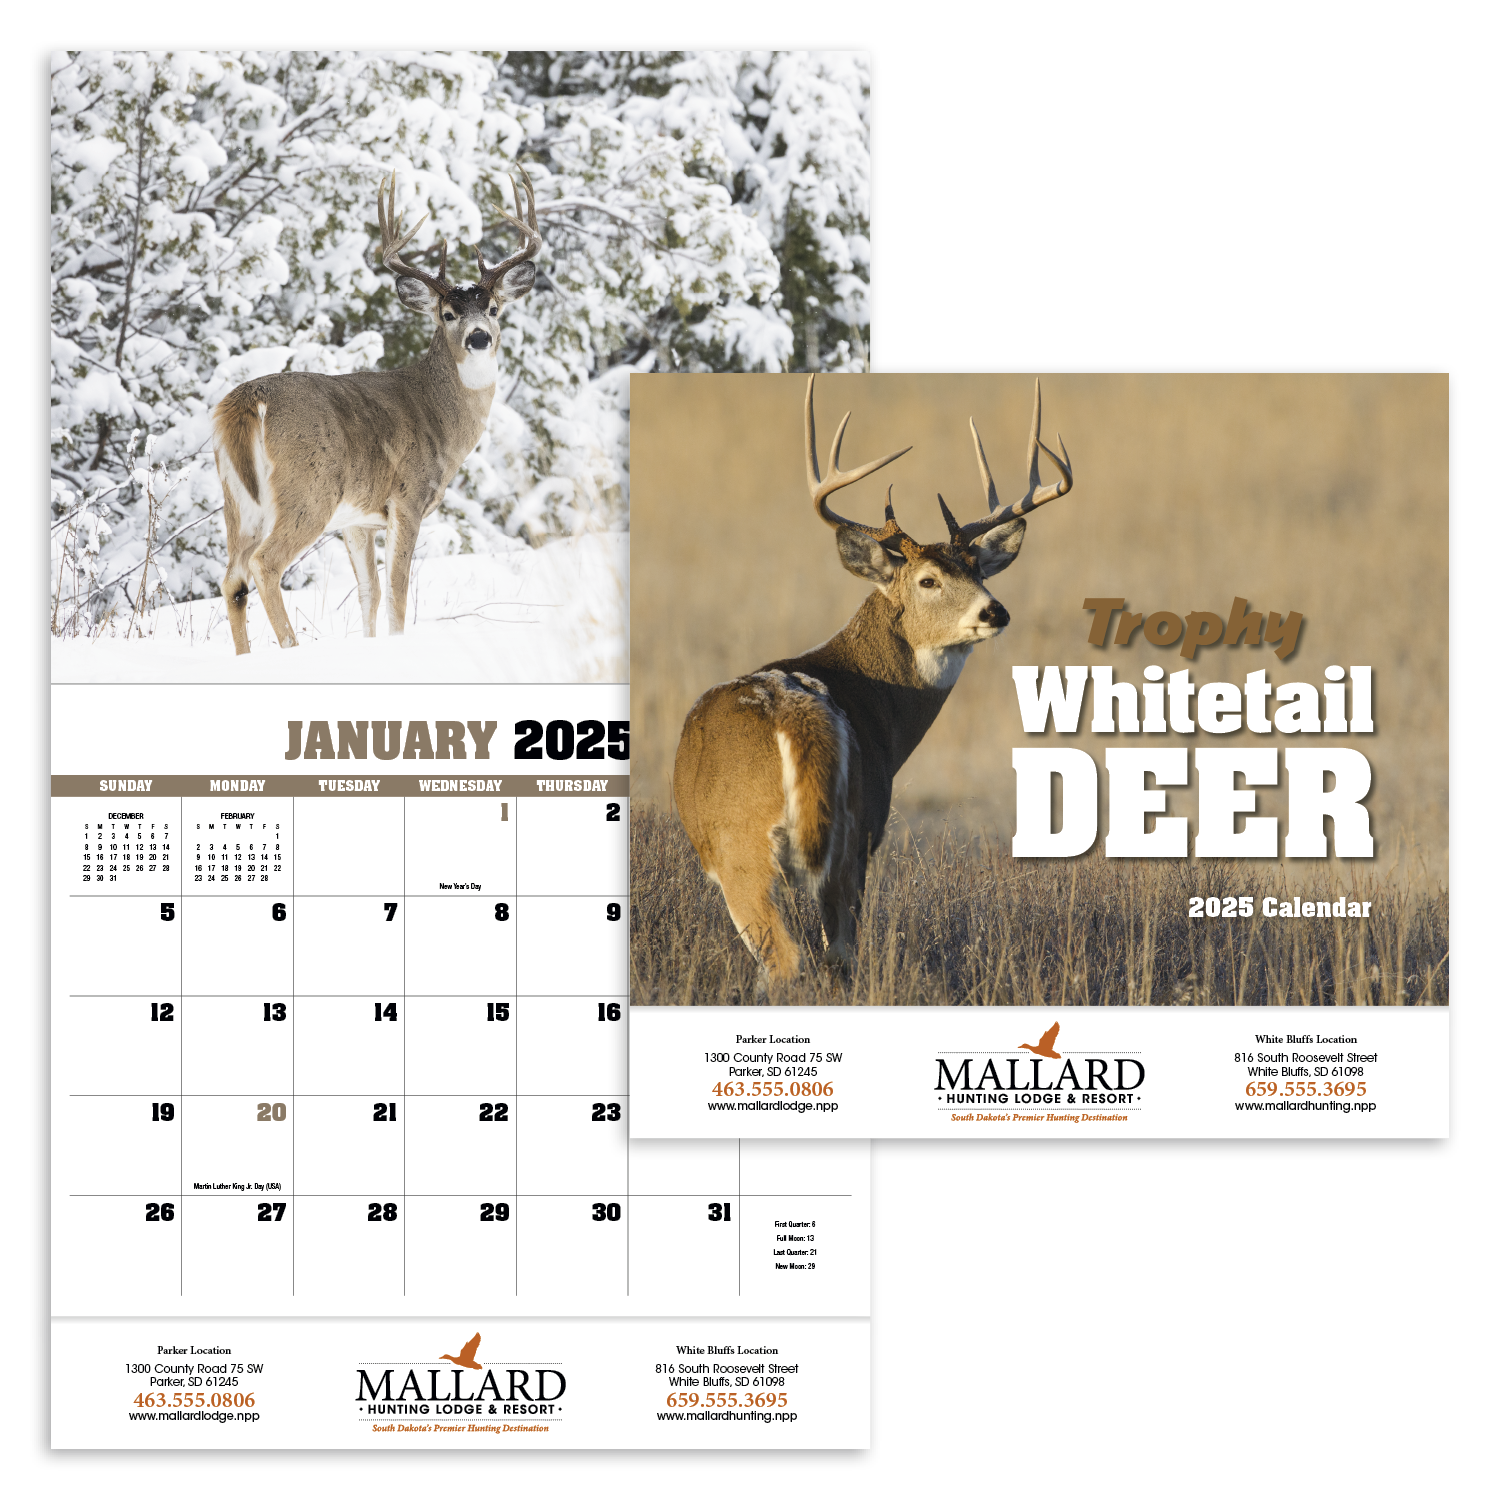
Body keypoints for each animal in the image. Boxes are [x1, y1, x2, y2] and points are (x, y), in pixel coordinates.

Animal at [211, 170, 542, 655]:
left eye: (495, 309)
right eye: (447, 314)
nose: (479, 337)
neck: (438, 416)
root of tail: (248, 401)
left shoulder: (358, 520)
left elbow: (369, 594)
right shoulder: (407, 498)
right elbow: (398, 595)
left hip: (236, 501)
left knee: (232, 580)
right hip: (308, 490)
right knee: (264, 565)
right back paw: (291, 648)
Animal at [672, 376, 1075, 995]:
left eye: (977, 570)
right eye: (930, 579)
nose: (995, 611)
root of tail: (794, 714)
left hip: (751, 844)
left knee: (788, 961)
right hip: (843, 842)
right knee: (836, 955)